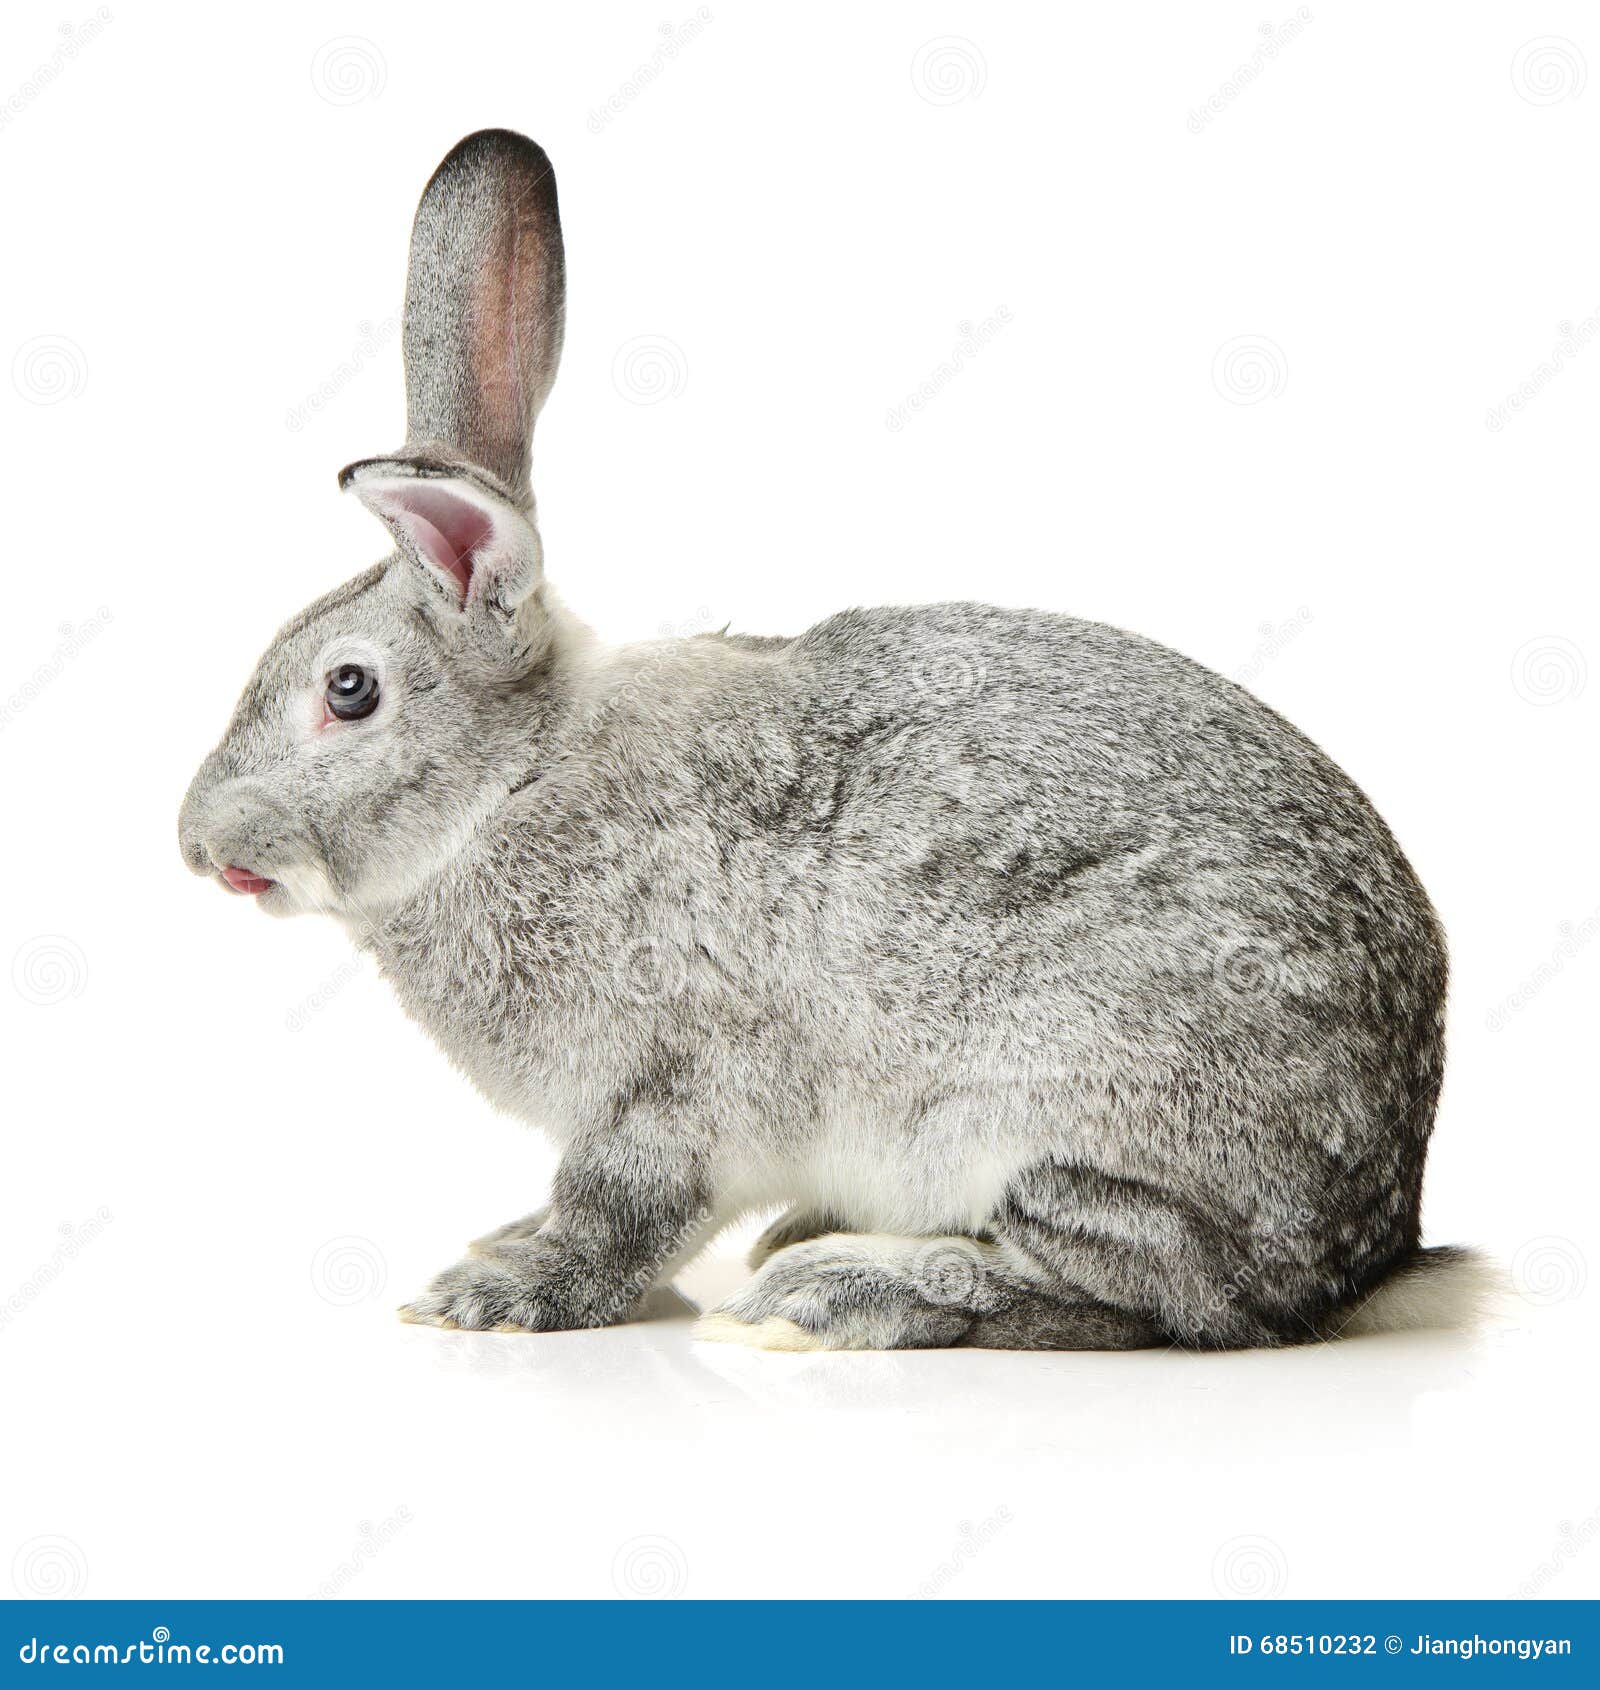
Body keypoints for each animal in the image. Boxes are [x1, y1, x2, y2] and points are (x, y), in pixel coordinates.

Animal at [178, 129, 1484, 1351]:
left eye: (349, 690)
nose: (198, 843)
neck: (516, 781)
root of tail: (1375, 1238)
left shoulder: (668, 1088)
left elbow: (618, 1208)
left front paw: (495, 1291)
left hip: (1057, 1101)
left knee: (1156, 1295)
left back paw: (835, 1290)